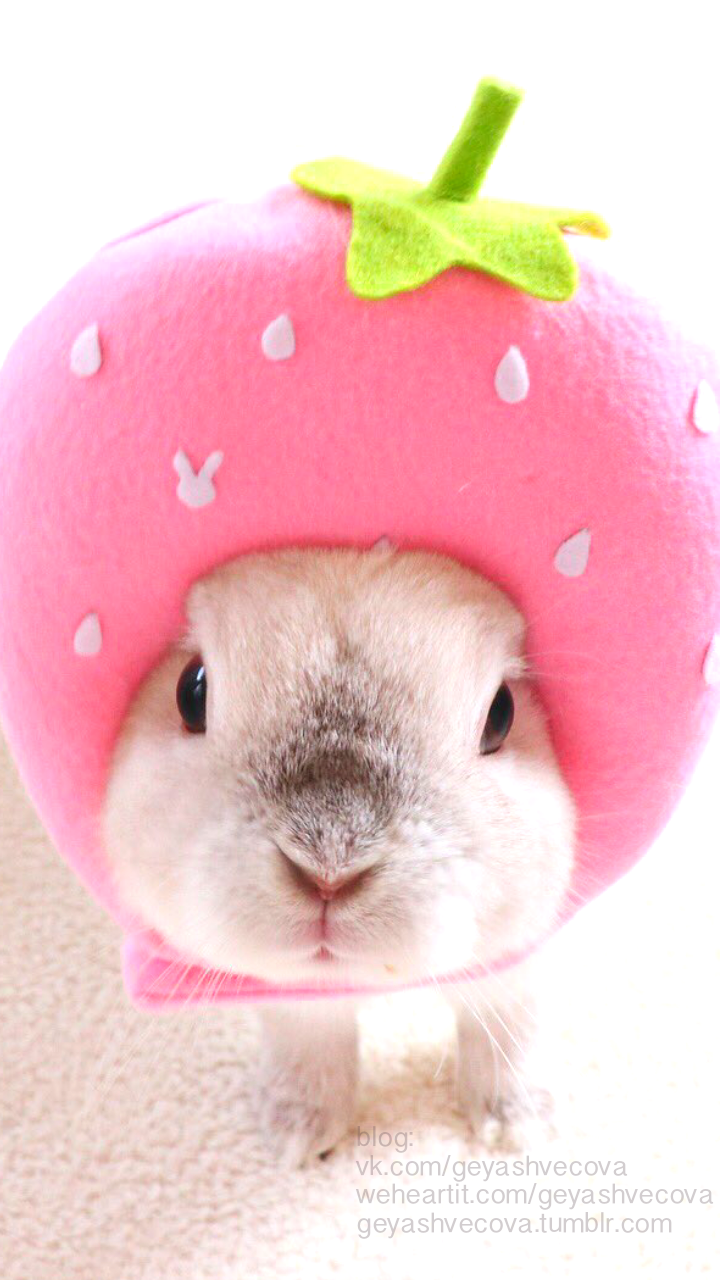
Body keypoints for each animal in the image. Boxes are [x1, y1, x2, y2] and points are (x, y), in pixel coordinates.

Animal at [103, 547, 576, 1165]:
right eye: (191, 691)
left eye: (501, 715)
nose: (328, 872)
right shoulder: (288, 989)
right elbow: (310, 1036)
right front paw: (297, 1135)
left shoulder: (526, 956)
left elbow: (511, 1023)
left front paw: (518, 1128)